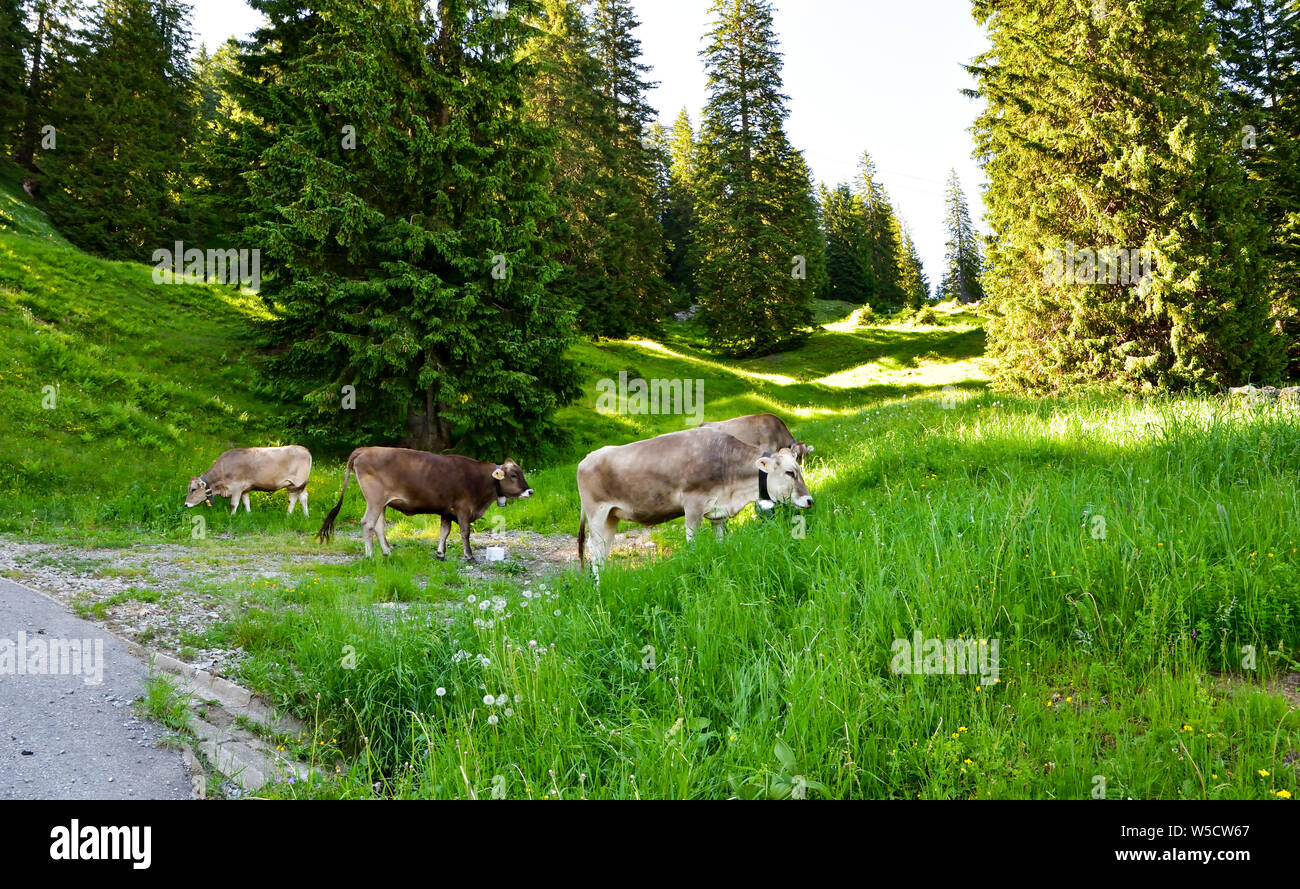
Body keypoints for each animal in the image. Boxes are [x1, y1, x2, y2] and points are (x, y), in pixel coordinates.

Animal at [316, 447, 533, 561]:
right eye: (514, 475)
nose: (530, 491)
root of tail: (364, 450)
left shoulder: (446, 510)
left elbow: (445, 531)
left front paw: (440, 553)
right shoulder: (463, 508)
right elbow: (465, 532)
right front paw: (469, 555)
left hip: (381, 503)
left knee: (378, 526)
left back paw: (387, 551)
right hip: (375, 500)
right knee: (367, 523)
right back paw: (370, 555)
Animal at [576, 427, 813, 569]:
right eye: (790, 472)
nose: (809, 500)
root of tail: (585, 459)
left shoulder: (719, 513)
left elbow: (720, 541)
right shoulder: (693, 505)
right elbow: (692, 543)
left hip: (611, 517)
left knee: (604, 551)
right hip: (596, 515)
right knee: (594, 552)